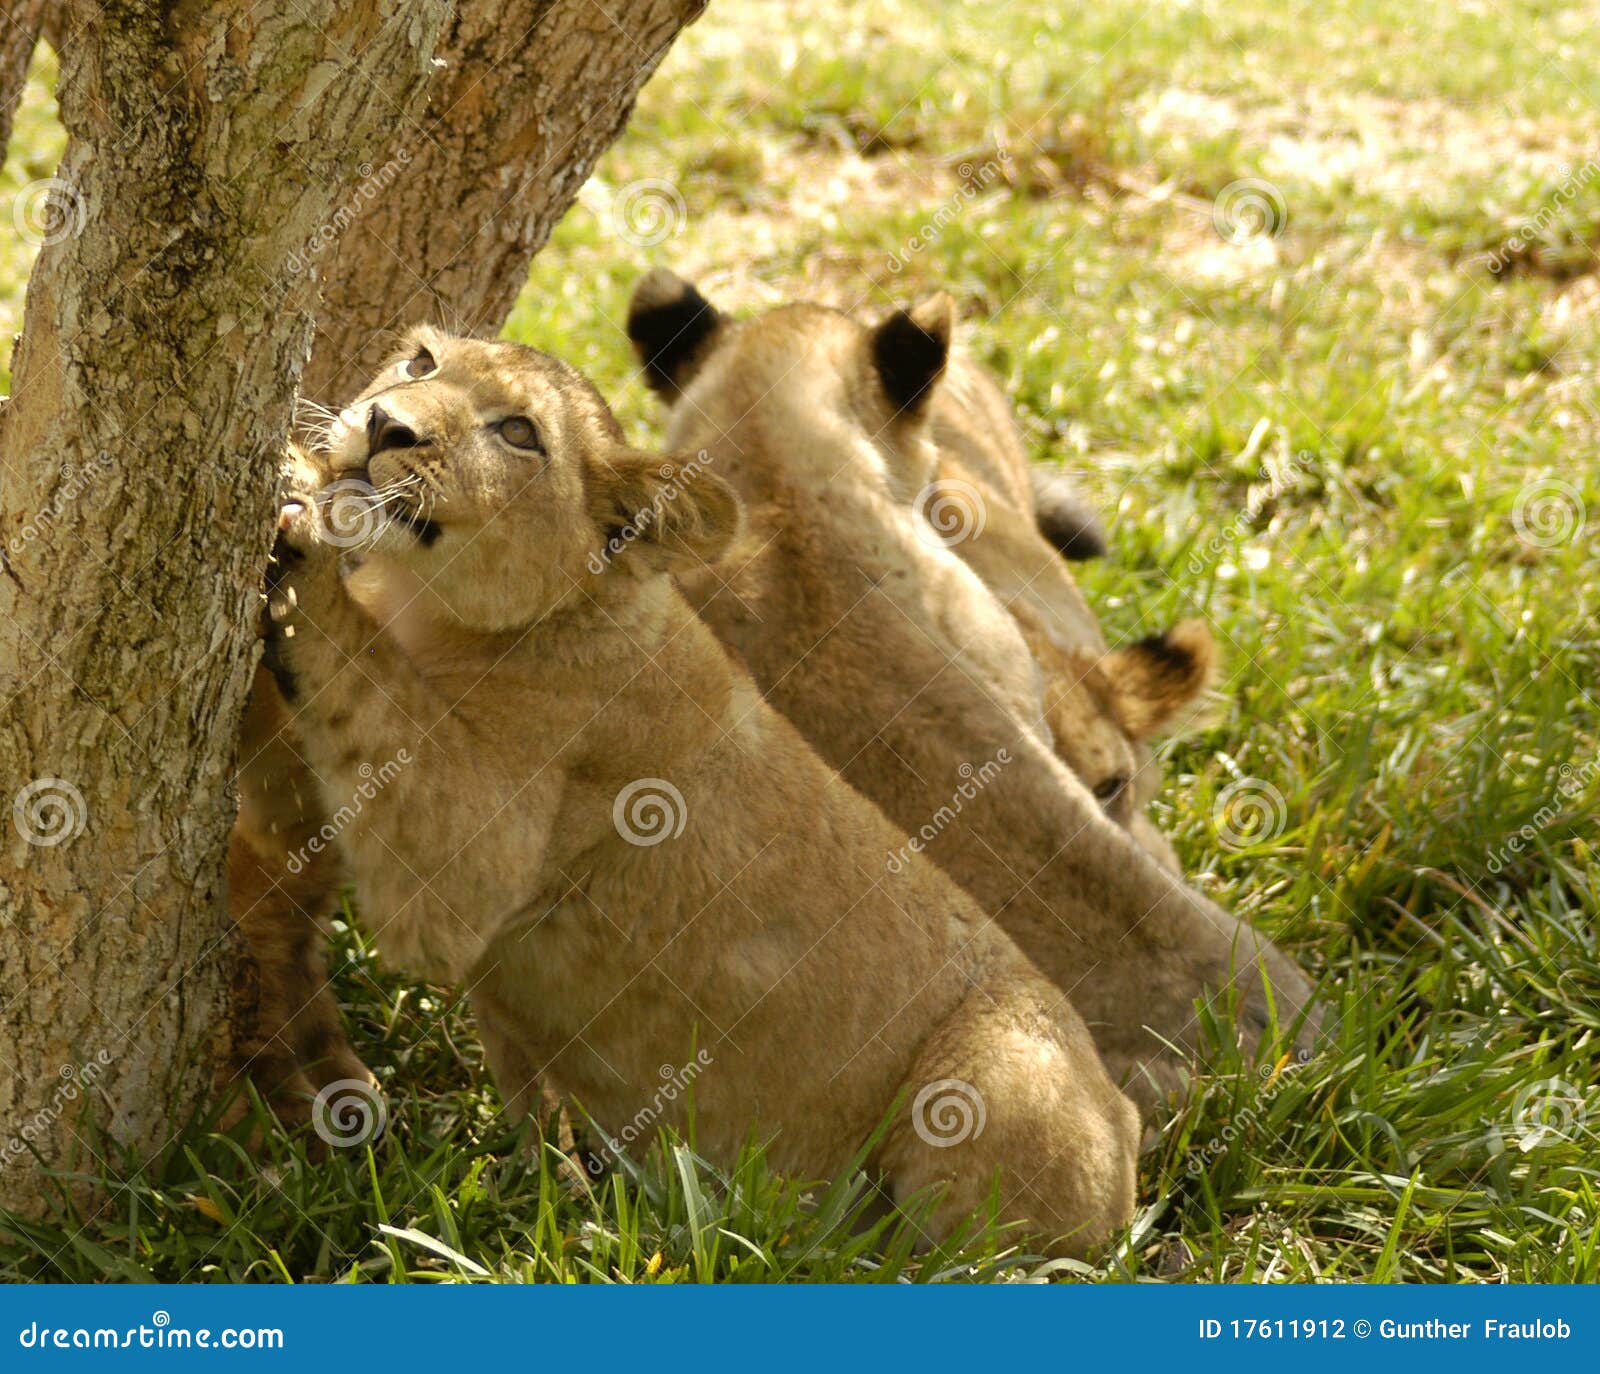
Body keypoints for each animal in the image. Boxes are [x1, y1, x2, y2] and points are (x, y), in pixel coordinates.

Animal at [258, 327, 1141, 1256]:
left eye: (518, 434)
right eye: (422, 363)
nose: (384, 425)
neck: (425, 606)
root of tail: (1128, 1132)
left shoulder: (469, 866)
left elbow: (369, 684)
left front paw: (300, 513)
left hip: (1000, 1076)